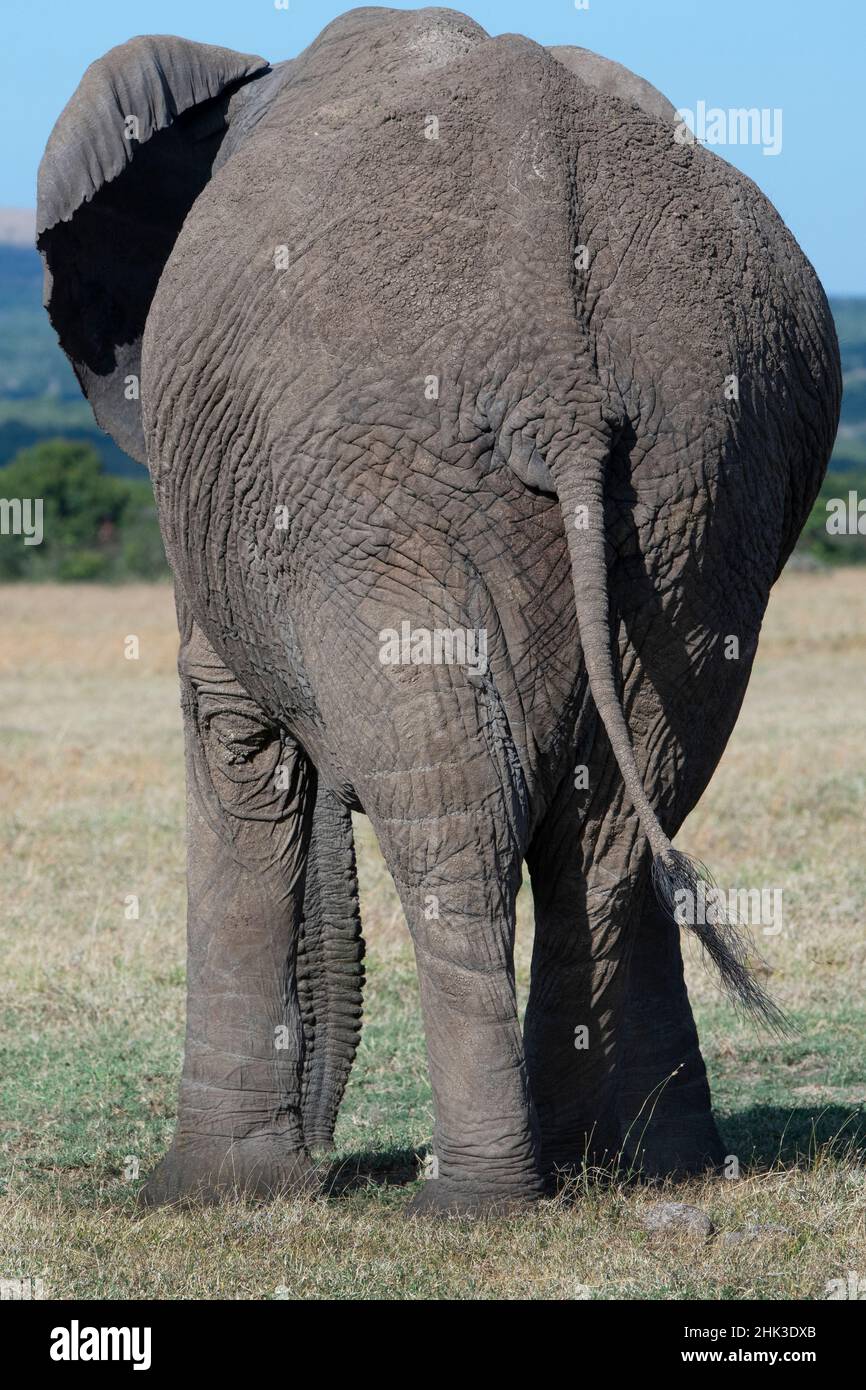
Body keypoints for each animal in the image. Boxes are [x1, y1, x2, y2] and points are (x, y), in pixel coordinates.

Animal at [37, 6, 840, 1214]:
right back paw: (636, 1168)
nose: (325, 1162)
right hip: (706, 465)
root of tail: (554, 361)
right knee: (615, 819)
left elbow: (230, 732)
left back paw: (476, 1199)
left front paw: (199, 1194)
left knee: (457, 819)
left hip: (381, 479)